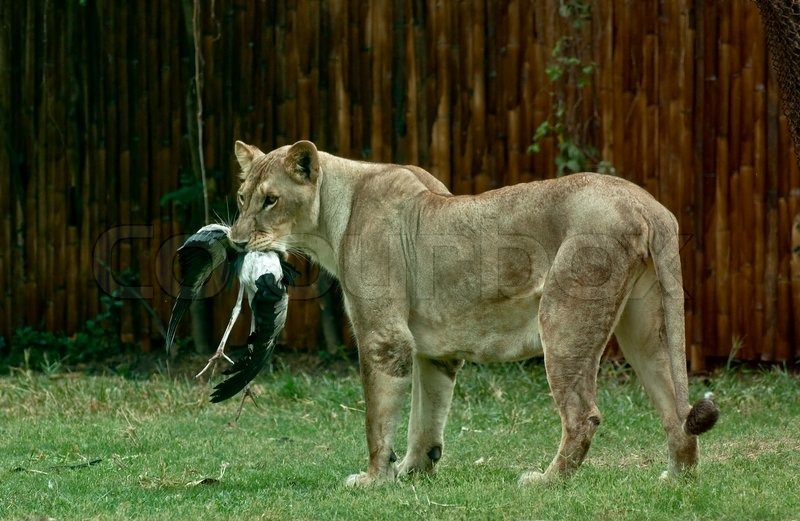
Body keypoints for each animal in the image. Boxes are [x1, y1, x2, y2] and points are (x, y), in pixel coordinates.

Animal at [228, 139, 719, 487]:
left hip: (563, 318)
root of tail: (645, 203)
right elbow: (425, 418)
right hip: (647, 327)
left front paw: (373, 479)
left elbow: (378, 420)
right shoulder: (433, 351)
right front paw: (414, 471)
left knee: (584, 415)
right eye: (241, 197)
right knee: (675, 409)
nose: (235, 240)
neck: (332, 216)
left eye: (271, 200)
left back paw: (547, 481)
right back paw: (676, 478)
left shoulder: (385, 338)